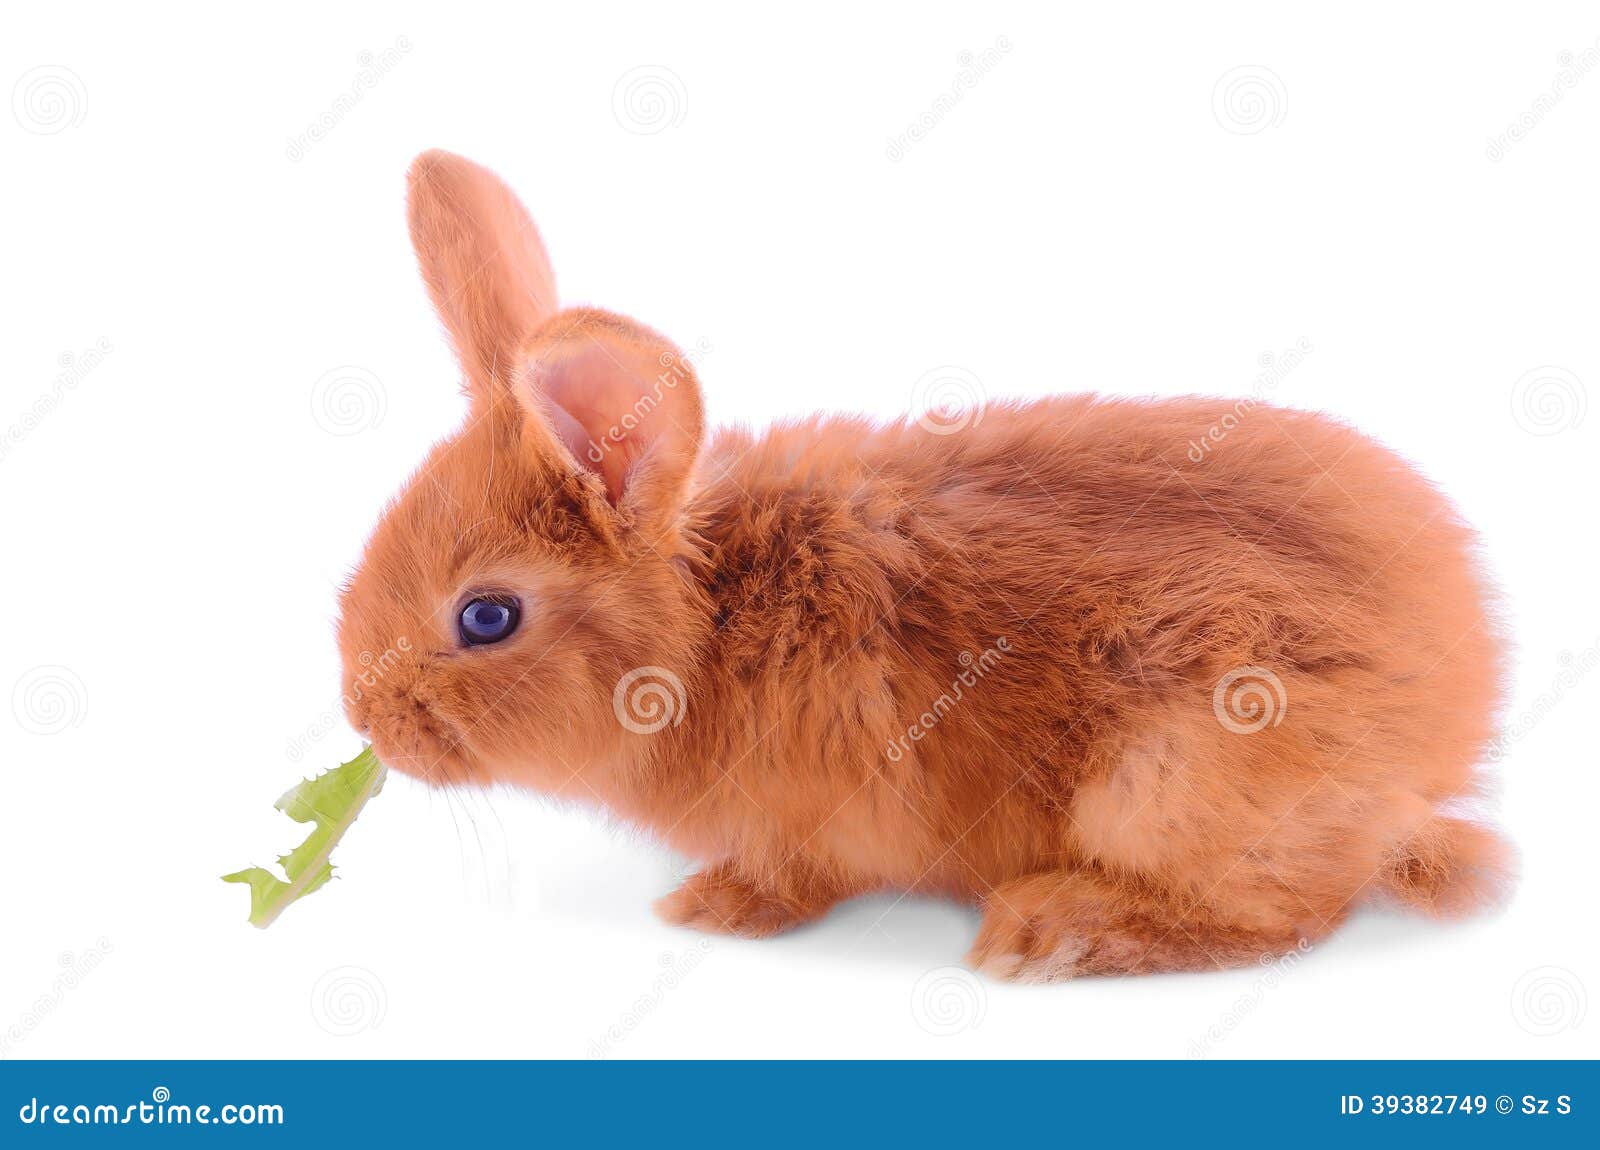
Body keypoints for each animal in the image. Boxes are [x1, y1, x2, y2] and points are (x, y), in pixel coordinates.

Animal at [337, 150, 1511, 981]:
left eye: (486, 617)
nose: (367, 722)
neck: (707, 626)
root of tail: (1434, 746)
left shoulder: (812, 822)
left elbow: (791, 878)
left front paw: (714, 907)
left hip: (1174, 776)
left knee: (1289, 912)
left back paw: (1051, 932)